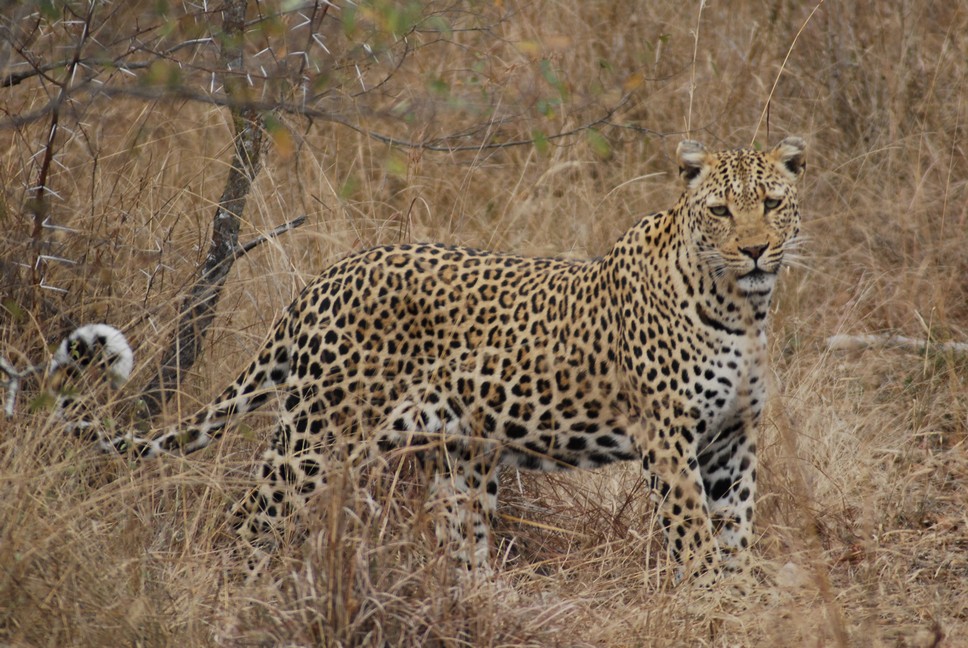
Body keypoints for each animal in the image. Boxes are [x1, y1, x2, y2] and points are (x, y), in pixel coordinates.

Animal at [88, 137, 806, 583]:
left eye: (773, 203)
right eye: (720, 210)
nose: (753, 250)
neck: (744, 308)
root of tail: (322, 280)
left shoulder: (732, 440)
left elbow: (735, 534)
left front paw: (739, 603)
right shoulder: (667, 440)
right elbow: (697, 540)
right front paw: (714, 607)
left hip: (458, 459)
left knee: (463, 551)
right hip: (315, 440)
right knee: (248, 523)